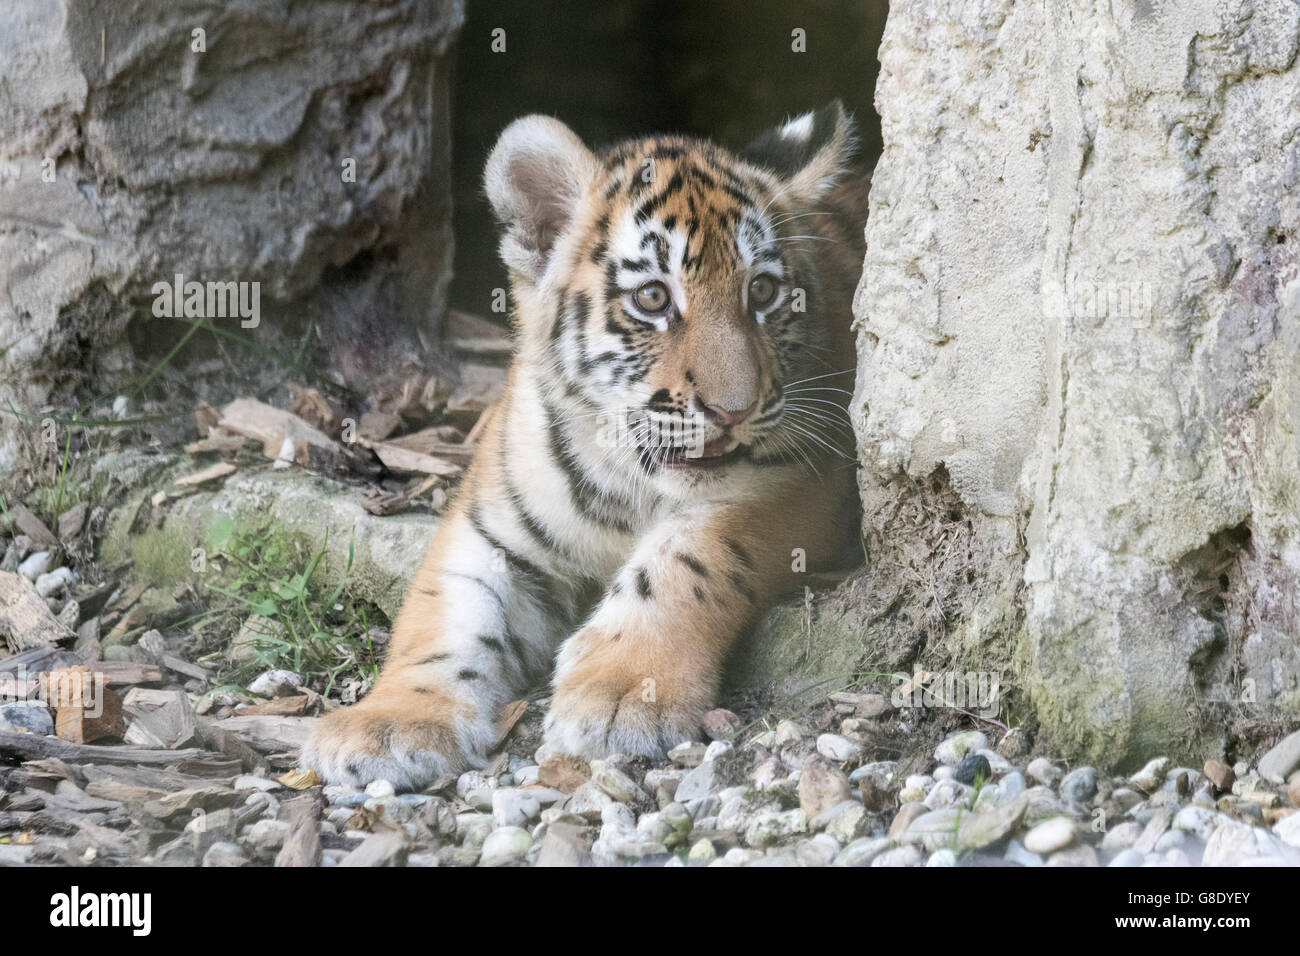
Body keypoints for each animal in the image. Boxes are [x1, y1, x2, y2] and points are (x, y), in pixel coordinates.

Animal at [304, 101, 869, 790]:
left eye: (761, 292)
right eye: (652, 298)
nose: (734, 411)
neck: (628, 480)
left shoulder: (799, 480)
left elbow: (685, 560)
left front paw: (621, 694)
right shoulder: (488, 529)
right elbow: (443, 618)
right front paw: (388, 724)